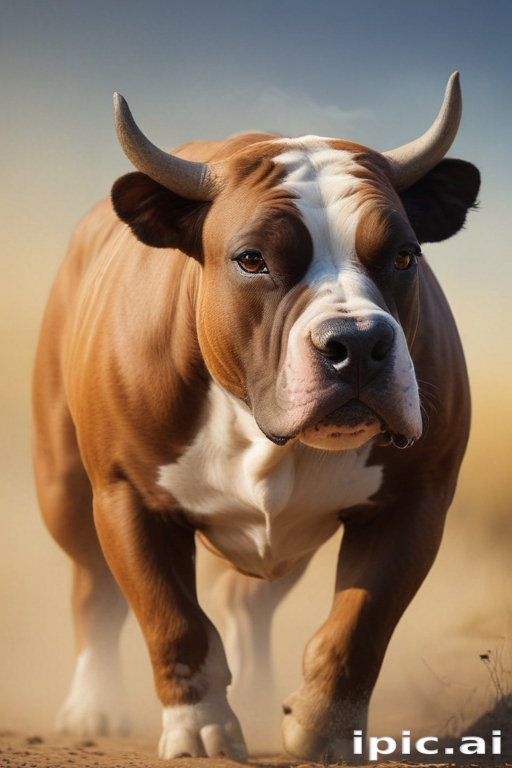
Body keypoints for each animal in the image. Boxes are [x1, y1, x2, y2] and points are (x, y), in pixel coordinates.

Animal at [32, 72, 479, 763]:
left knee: (247, 602)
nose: (357, 344)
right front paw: (198, 726)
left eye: (406, 256)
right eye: (251, 259)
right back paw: (93, 703)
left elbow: (359, 625)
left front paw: (323, 725)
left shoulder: (416, 500)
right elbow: (171, 619)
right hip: (65, 488)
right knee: (95, 588)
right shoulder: (128, 497)